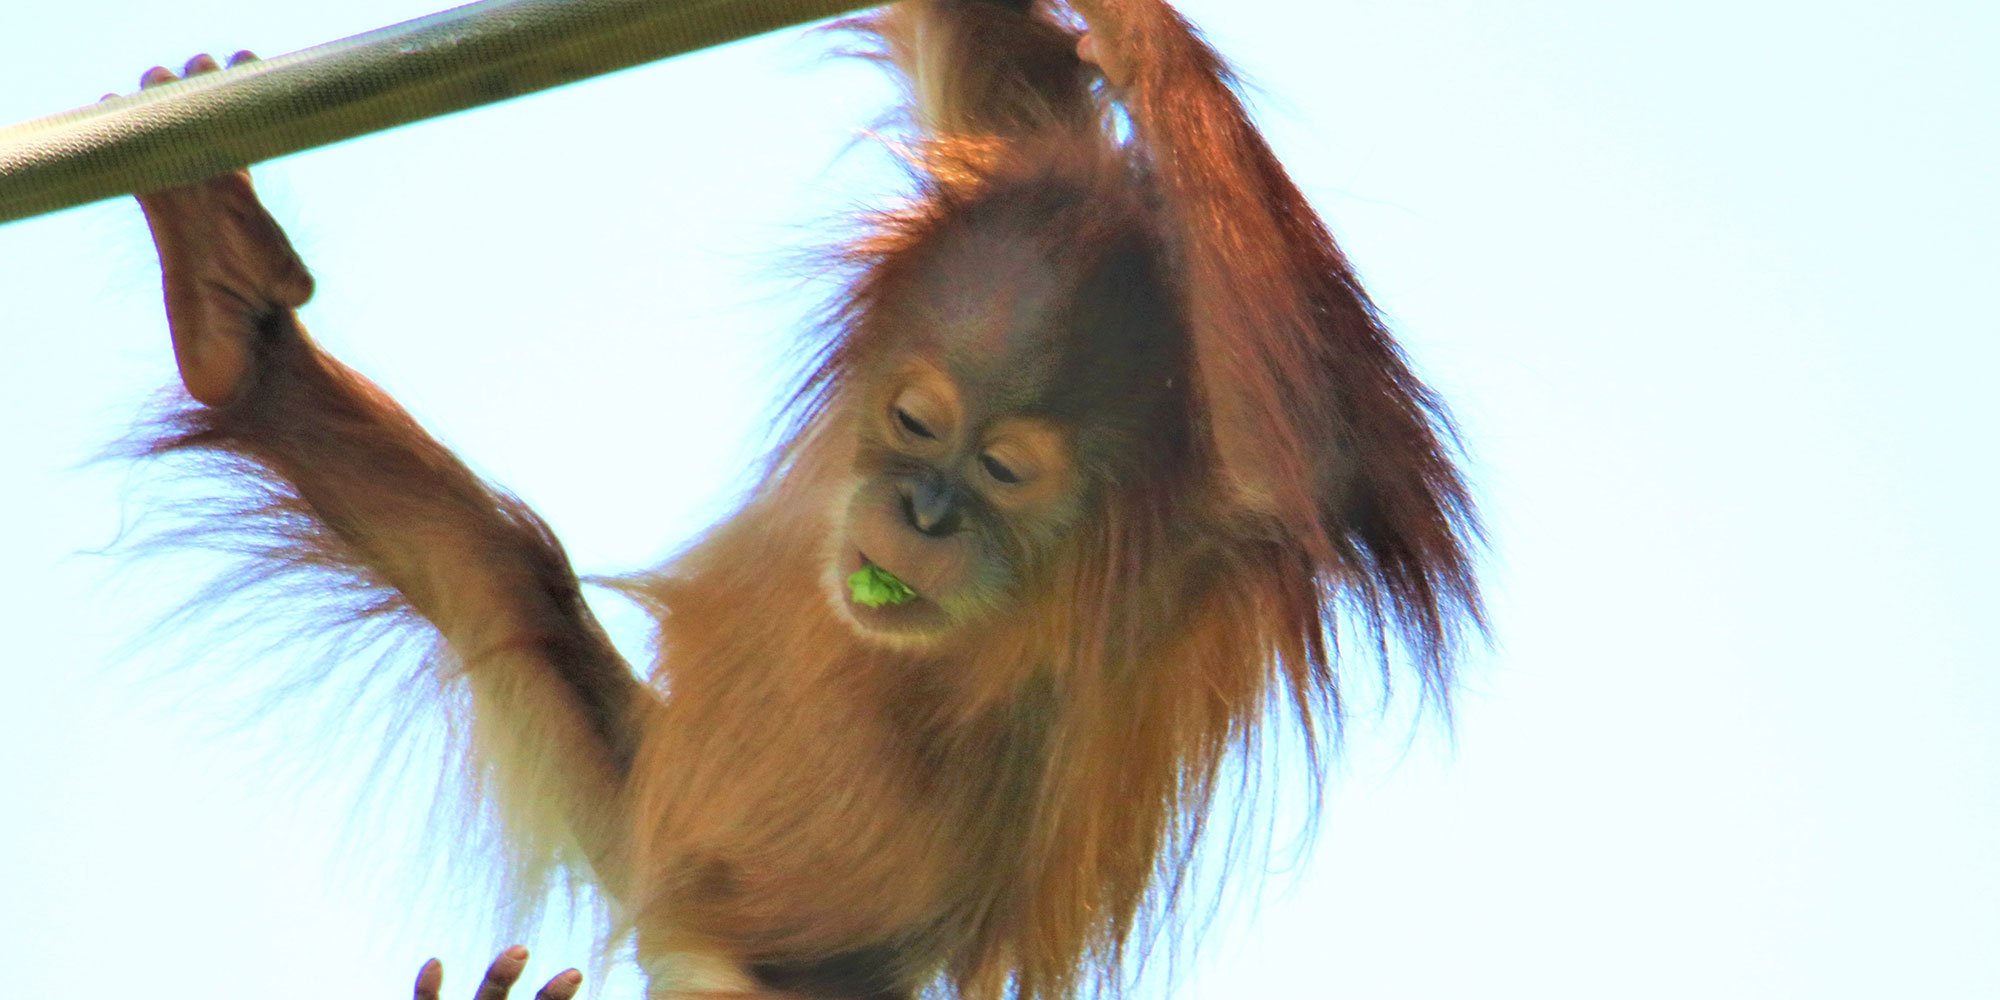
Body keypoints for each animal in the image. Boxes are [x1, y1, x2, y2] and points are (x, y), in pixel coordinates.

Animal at [123, 1, 1480, 998]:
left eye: (1001, 471)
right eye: (916, 421)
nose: (921, 512)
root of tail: (670, 900)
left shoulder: (1205, 543)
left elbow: (1317, 462)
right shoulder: (1001, 144)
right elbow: (974, 52)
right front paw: (1121, 26)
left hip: (750, 965)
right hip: (636, 797)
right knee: (487, 568)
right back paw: (231, 317)